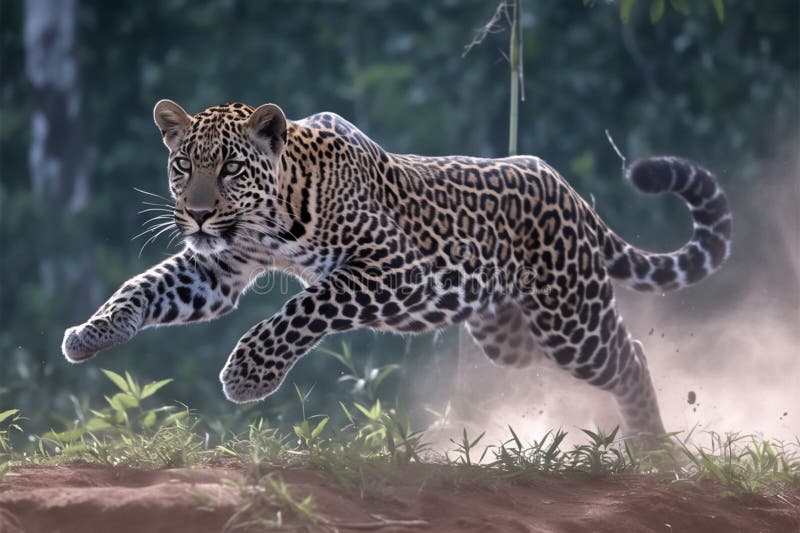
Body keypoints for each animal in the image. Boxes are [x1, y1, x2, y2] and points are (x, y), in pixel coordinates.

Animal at [62, 100, 732, 440]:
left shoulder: (399, 272)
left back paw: (655, 453)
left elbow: (305, 306)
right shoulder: (220, 267)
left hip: (570, 318)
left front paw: (249, 375)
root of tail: (566, 188)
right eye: (182, 165)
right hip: (510, 337)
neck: (273, 214)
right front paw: (90, 334)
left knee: (630, 357)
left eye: (230, 168)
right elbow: (145, 287)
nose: (198, 214)